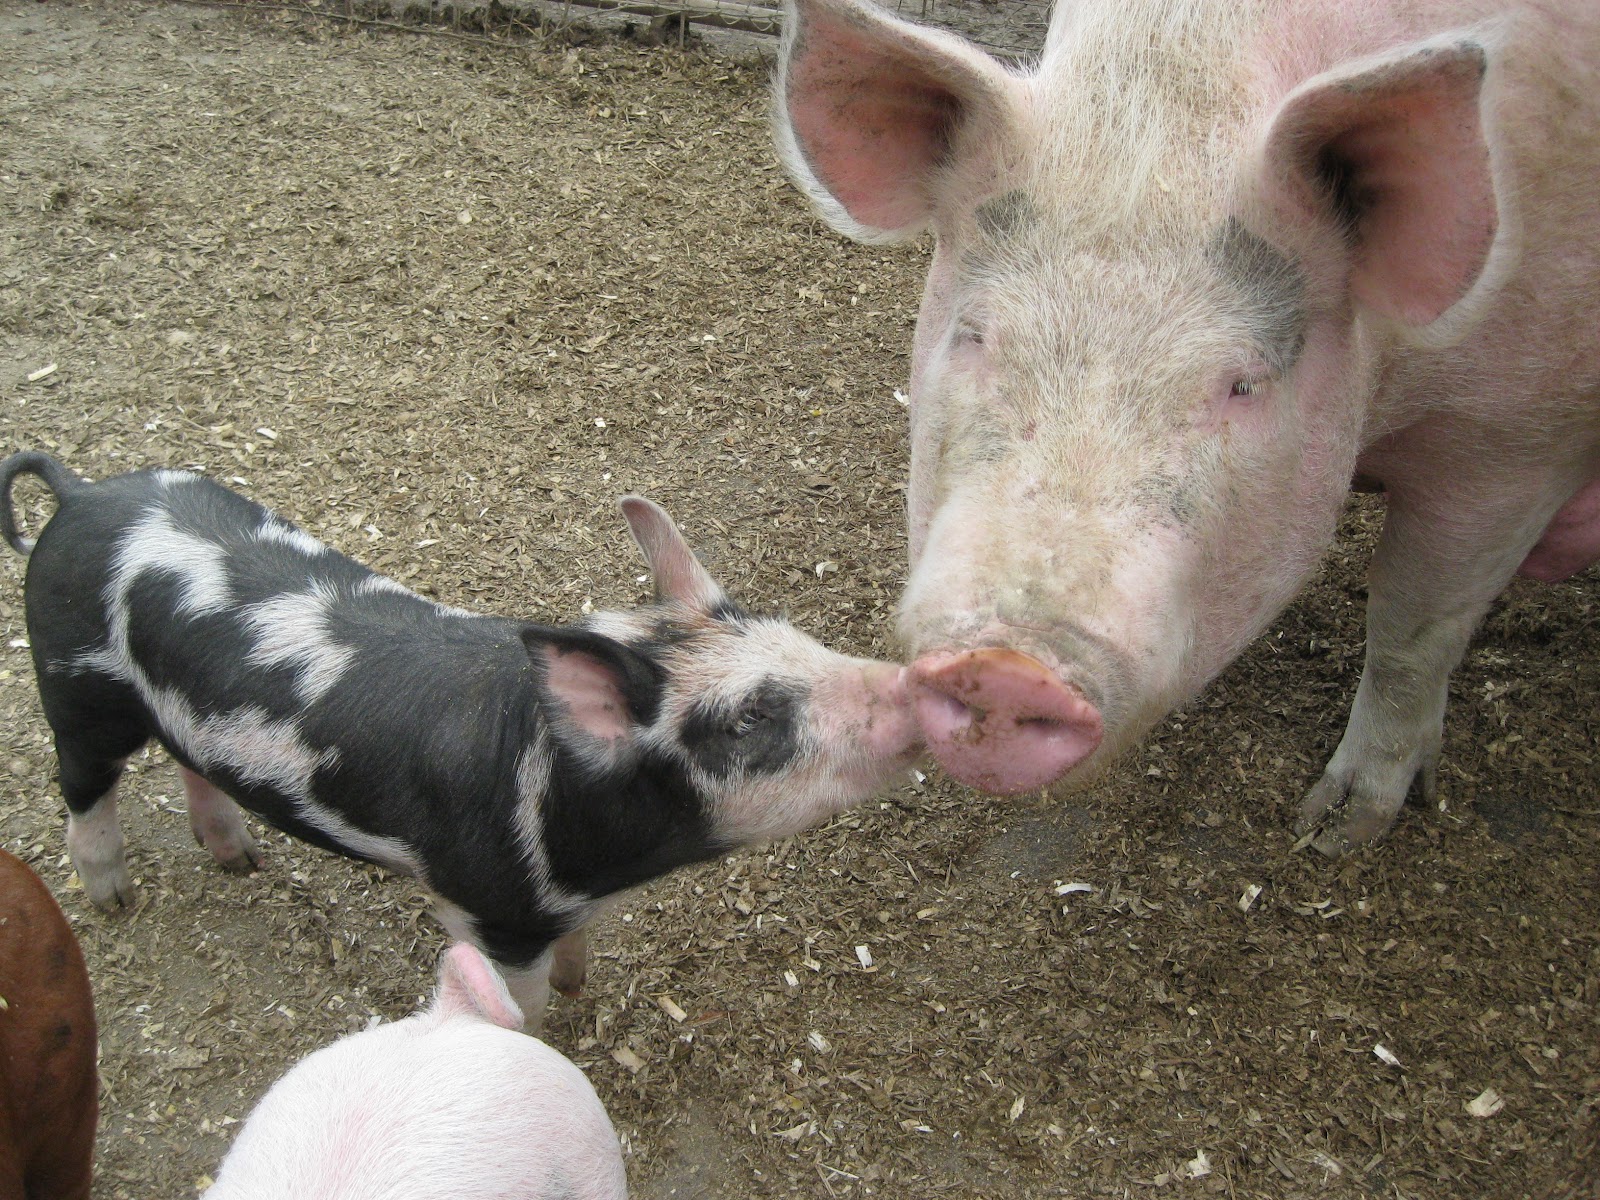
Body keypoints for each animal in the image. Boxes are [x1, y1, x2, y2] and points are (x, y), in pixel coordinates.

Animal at [0, 451, 920, 1023]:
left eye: (797, 635)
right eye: (748, 718)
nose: (921, 685)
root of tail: (79, 495)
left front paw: (583, 987)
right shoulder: (491, 911)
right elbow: (519, 1007)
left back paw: (239, 861)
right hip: (75, 686)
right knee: (82, 791)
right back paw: (113, 902)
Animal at [774, 0, 1600, 854]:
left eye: (1243, 384)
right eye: (974, 334)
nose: (1009, 668)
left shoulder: (1517, 438)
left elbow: (1412, 624)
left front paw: (1333, 831)